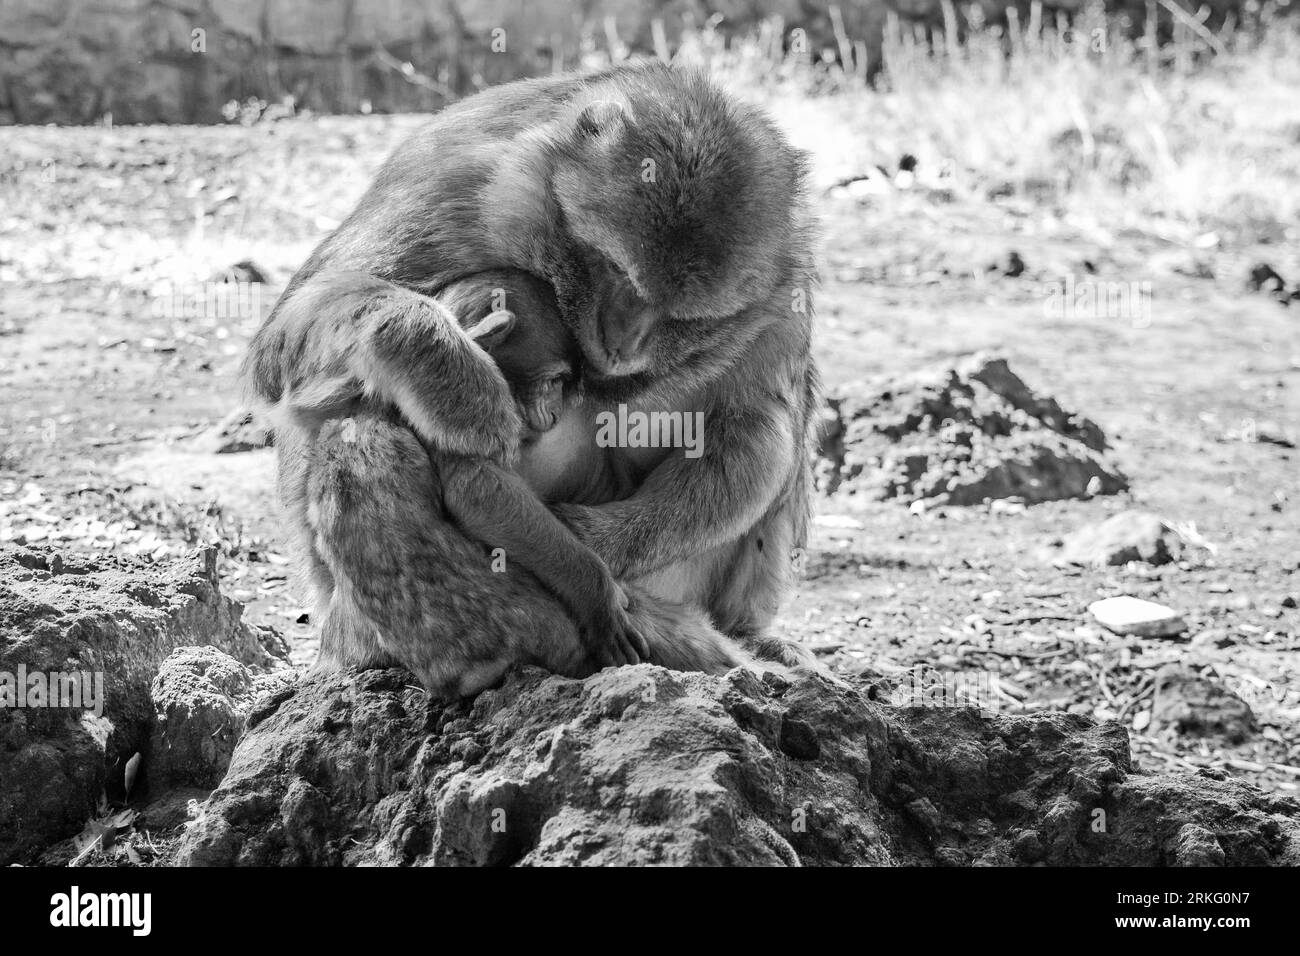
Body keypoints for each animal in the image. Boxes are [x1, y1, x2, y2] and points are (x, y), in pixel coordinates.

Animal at [245, 61, 823, 684]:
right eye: (615, 269)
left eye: (681, 316)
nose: (621, 344)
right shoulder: (451, 182)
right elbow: (285, 339)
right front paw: (454, 383)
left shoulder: (780, 299)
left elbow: (754, 432)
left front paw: (594, 539)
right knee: (360, 434)